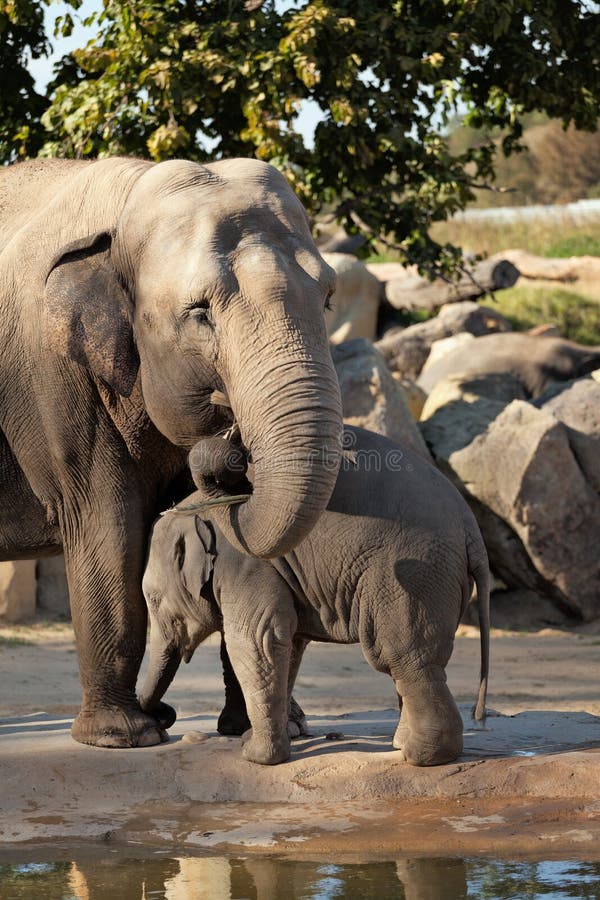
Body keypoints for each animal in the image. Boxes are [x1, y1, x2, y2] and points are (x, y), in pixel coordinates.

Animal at [0, 157, 342, 748]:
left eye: (327, 298)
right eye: (201, 313)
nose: (164, 713)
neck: (126, 202)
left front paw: (268, 728)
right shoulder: (52, 375)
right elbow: (105, 522)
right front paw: (124, 737)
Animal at [140, 426, 490, 767]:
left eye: (153, 599)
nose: (165, 718)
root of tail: (473, 534)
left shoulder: (245, 564)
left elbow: (256, 639)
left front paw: (255, 755)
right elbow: (289, 643)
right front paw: (259, 741)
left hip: (412, 579)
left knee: (402, 655)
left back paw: (420, 756)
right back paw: (401, 744)